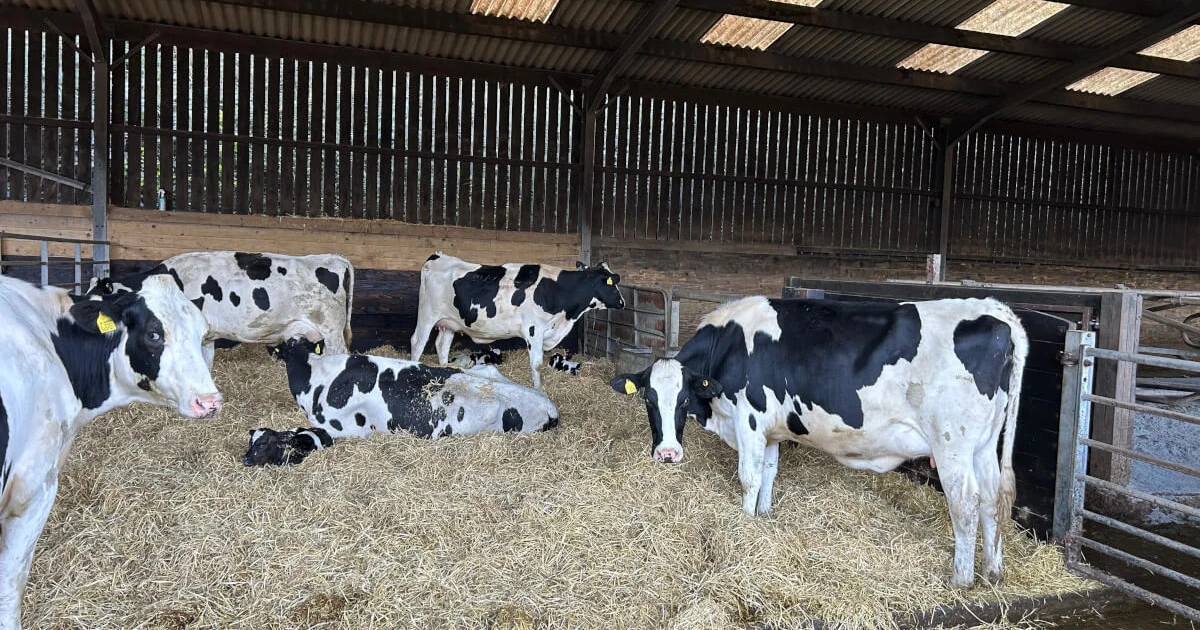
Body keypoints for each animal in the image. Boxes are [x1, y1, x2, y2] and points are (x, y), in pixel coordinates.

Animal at [410, 253, 624, 389]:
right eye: (612, 283)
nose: (623, 302)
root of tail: (438, 256)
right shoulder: (534, 330)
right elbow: (536, 364)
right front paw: (538, 389)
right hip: (427, 315)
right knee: (417, 343)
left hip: (449, 323)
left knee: (442, 346)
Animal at [610, 296, 1027, 589]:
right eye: (649, 399)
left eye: (683, 400)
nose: (667, 453)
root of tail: (995, 310)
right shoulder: (772, 430)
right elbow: (769, 473)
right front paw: (765, 517)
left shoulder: (749, 420)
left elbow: (749, 477)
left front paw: (745, 522)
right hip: (984, 445)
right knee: (991, 500)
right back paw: (993, 572)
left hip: (952, 443)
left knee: (966, 504)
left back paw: (962, 579)